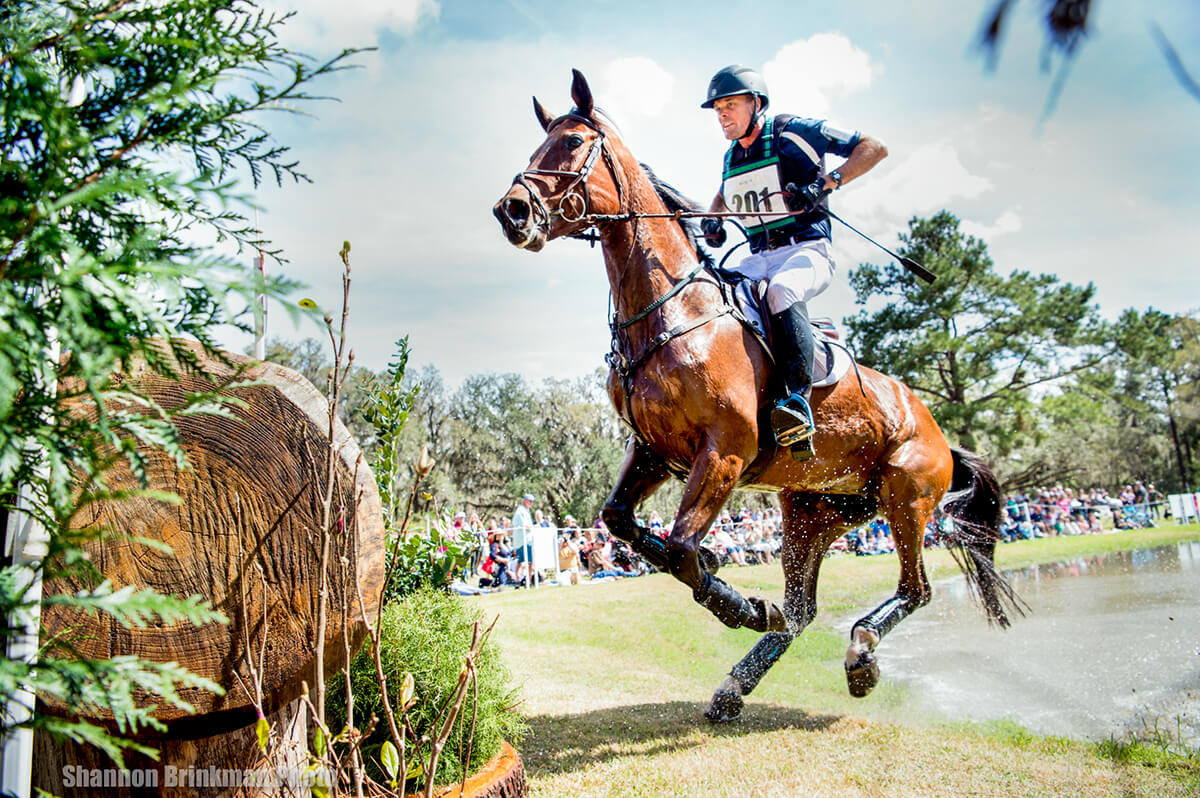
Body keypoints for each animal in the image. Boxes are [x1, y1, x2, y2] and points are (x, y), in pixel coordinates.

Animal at [493, 69, 1020, 722]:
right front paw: (724, 574)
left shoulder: (724, 452)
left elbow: (681, 547)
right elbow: (624, 525)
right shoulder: (654, 450)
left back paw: (860, 656)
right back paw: (737, 685)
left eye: (570, 144)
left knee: (913, 589)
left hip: (906, 496)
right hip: (814, 512)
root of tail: (940, 430)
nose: (510, 212)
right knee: (800, 610)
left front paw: (735, 602)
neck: (671, 313)